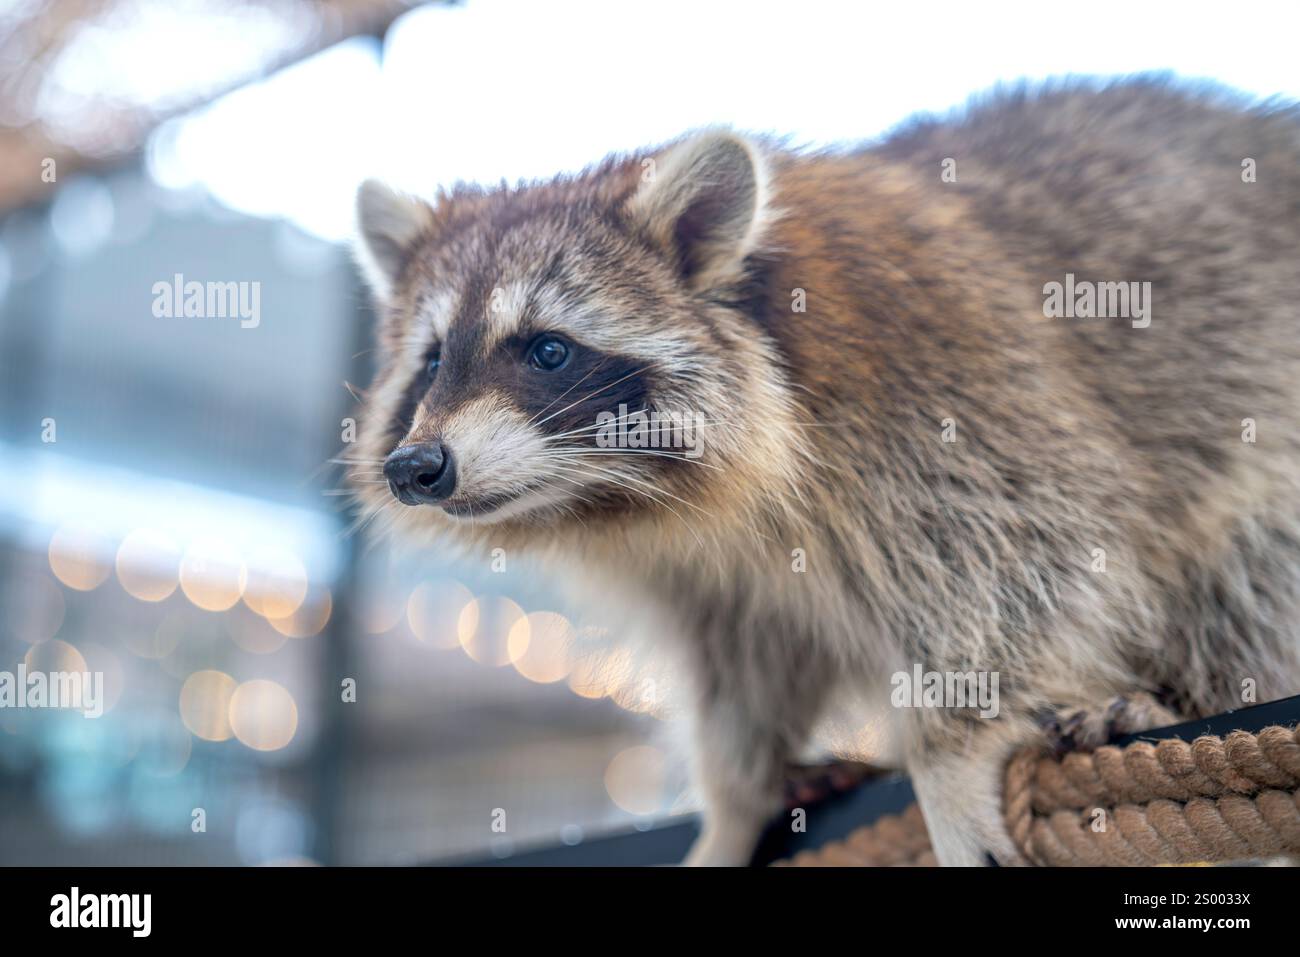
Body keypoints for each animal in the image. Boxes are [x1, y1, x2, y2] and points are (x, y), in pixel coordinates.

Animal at [350, 78, 1300, 865]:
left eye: (546, 350)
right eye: (432, 362)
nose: (417, 466)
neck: (621, 491)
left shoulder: (943, 381)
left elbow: (1040, 543)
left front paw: (952, 738)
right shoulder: (711, 571)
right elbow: (743, 649)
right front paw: (739, 790)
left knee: (1255, 557)